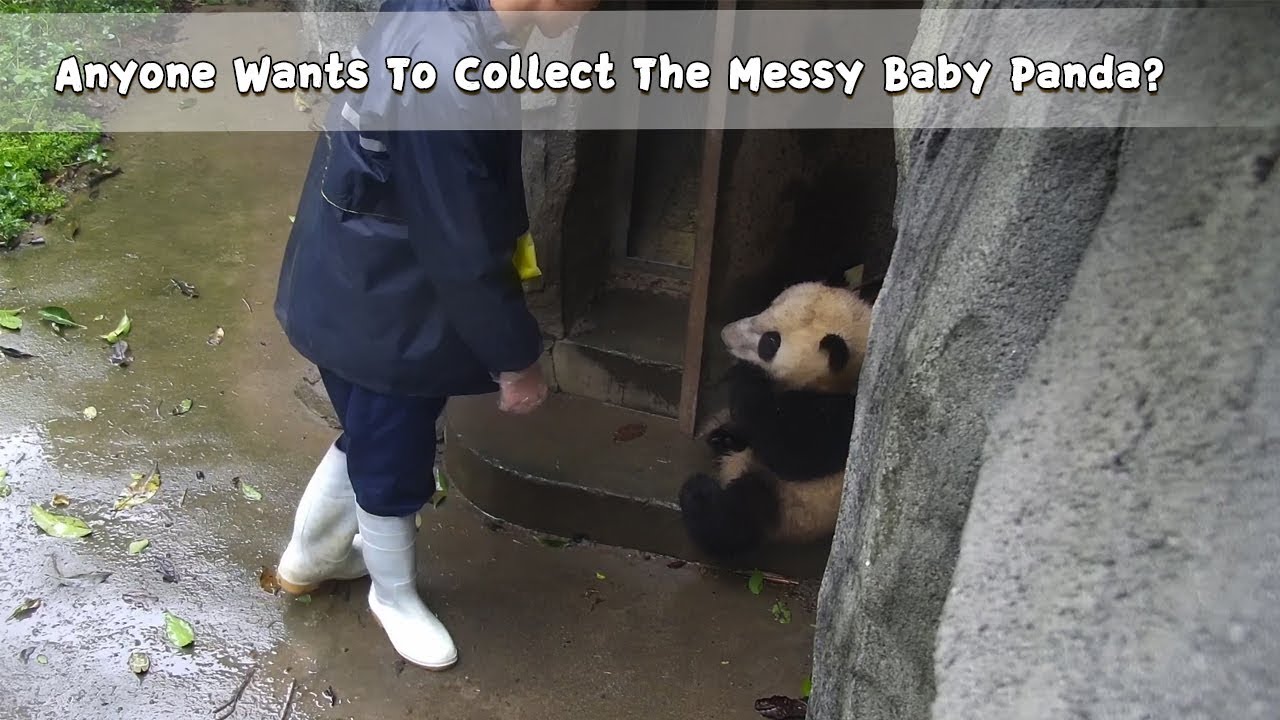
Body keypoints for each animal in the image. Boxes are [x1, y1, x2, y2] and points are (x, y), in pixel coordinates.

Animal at [677, 272, 875, 560]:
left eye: (770, 342)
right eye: (769, 305)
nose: (726, 334)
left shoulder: (844, 418)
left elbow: (790, 450)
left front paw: (745, 374)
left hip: (791, 506)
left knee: (739, 513)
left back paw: (698, 494)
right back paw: (723, 440)